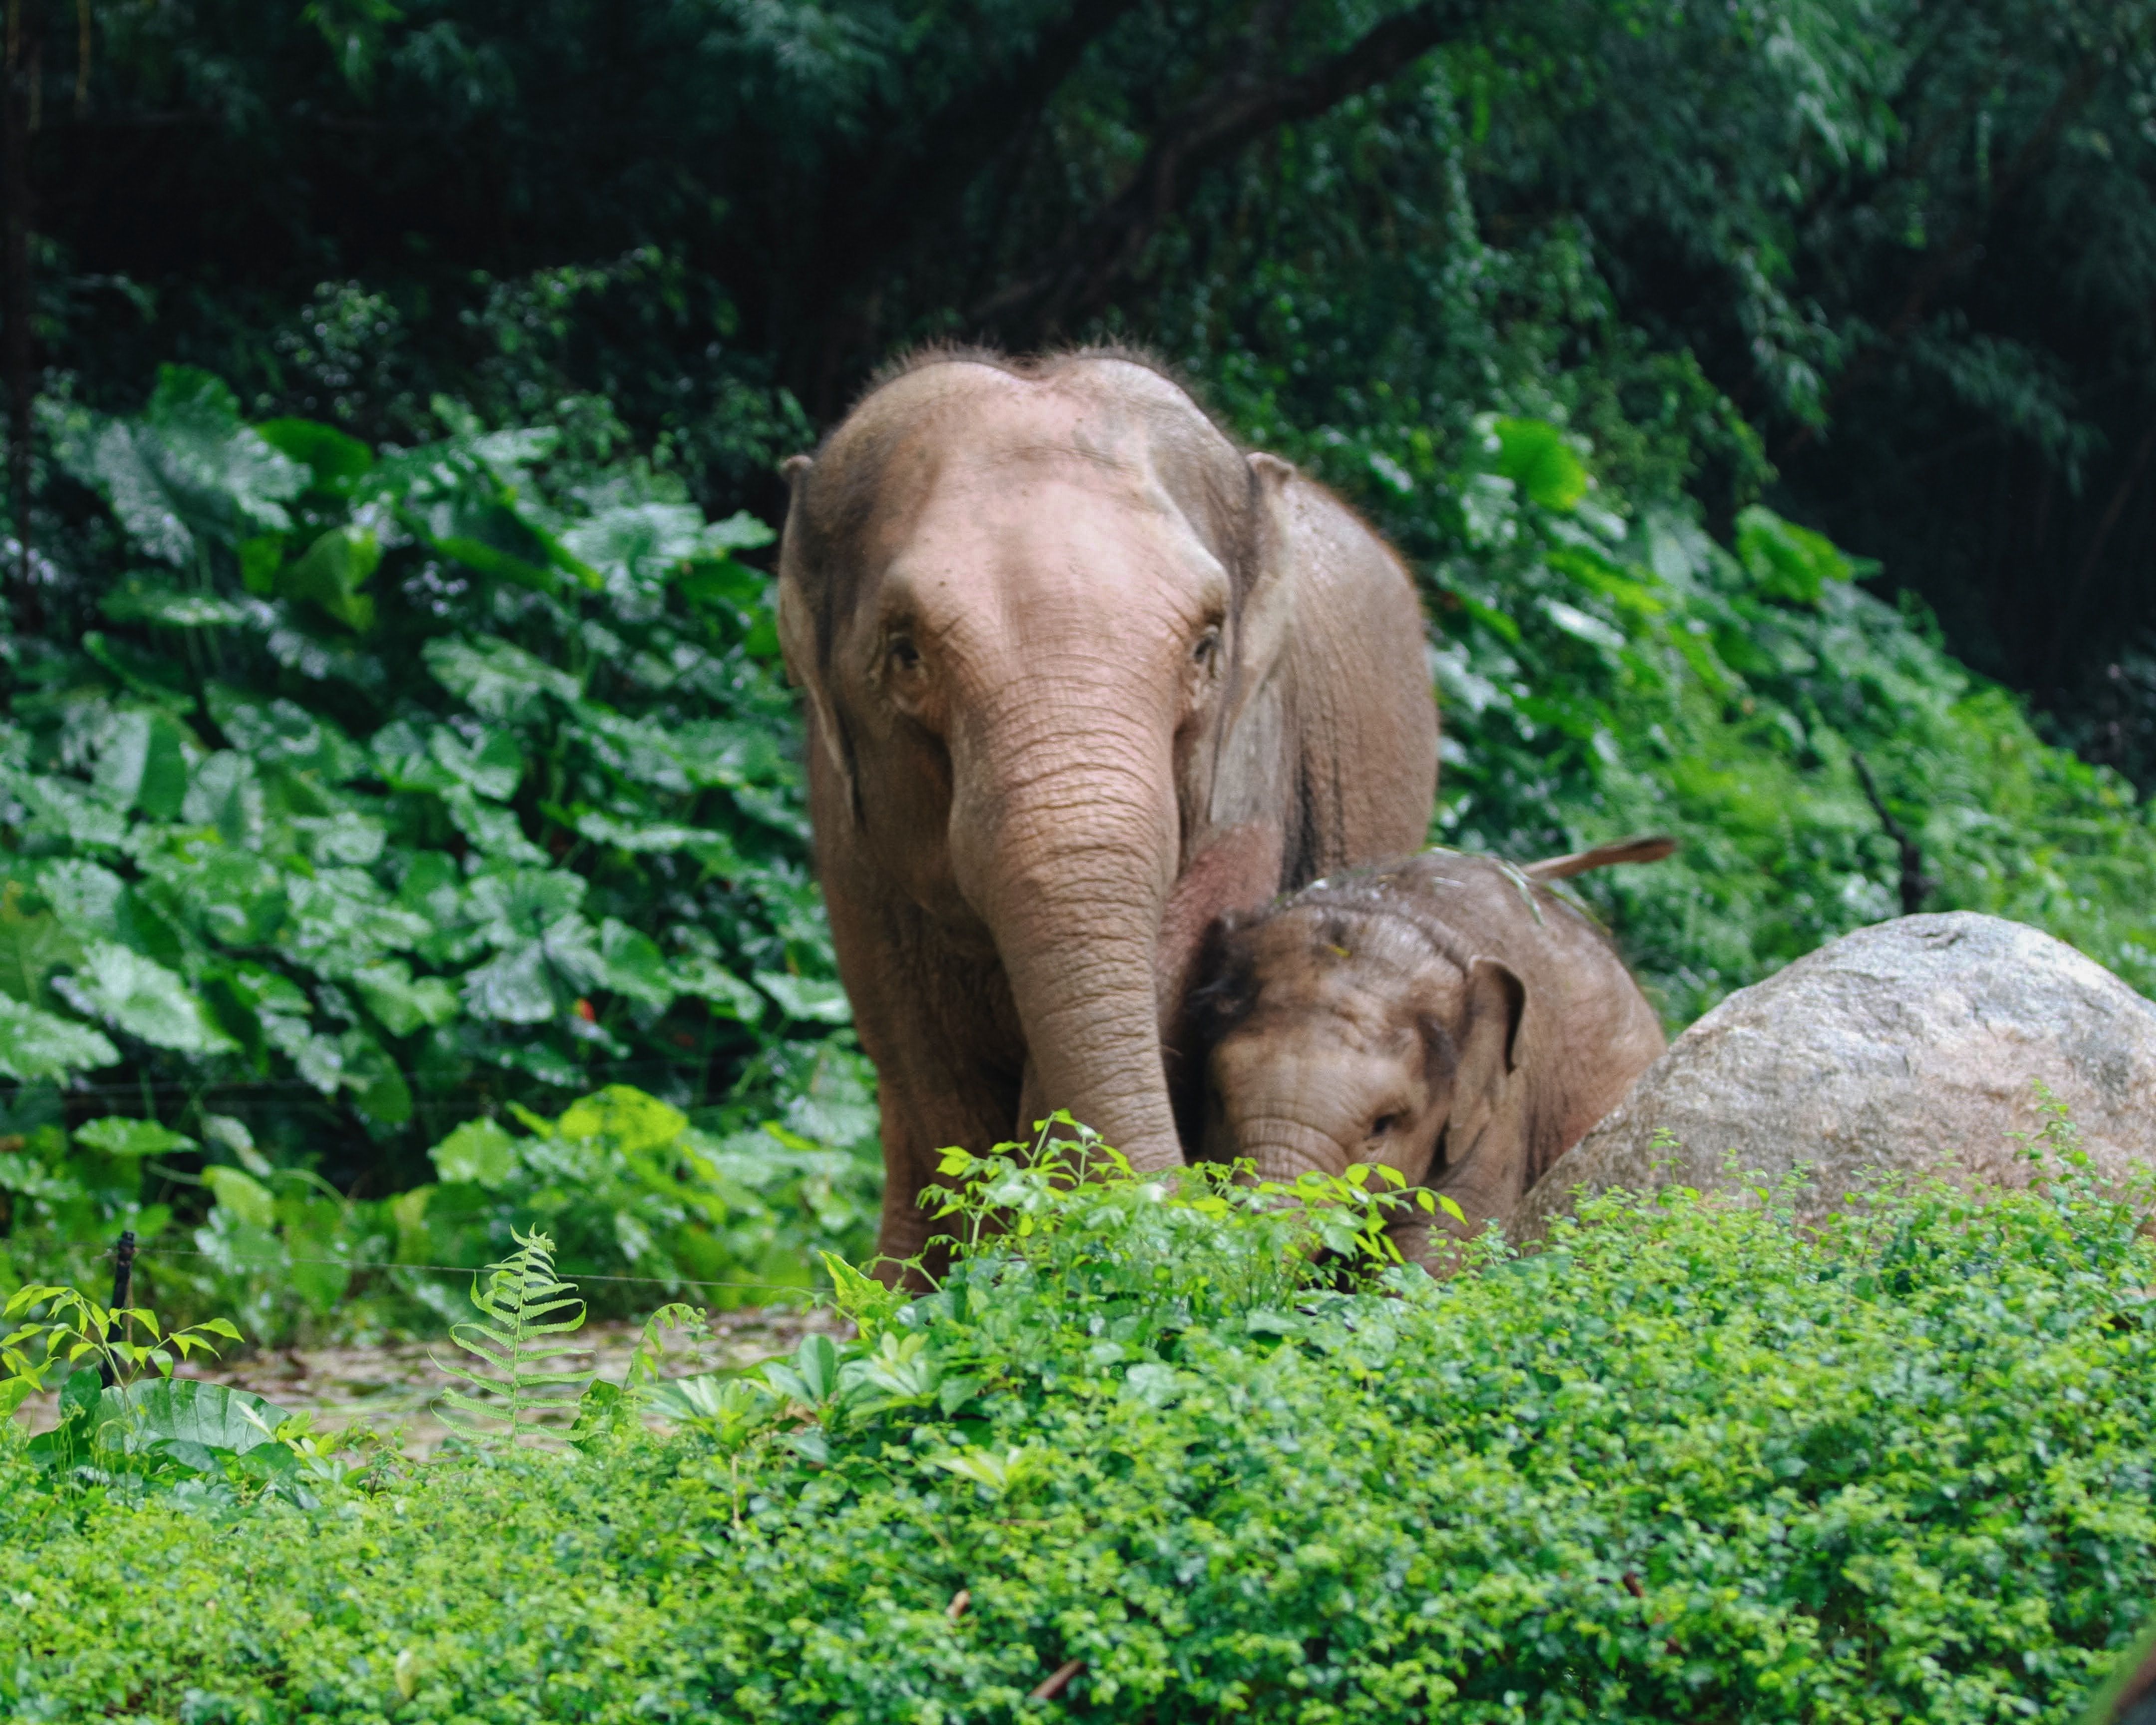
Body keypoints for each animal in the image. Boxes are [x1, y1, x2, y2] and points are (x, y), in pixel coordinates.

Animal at [775, 347, 1439, 1273]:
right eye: (905, 654)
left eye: (1206, 647)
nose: (1195, 1198)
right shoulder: (848, 829)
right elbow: (921, 1050)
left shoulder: (1247, 768)